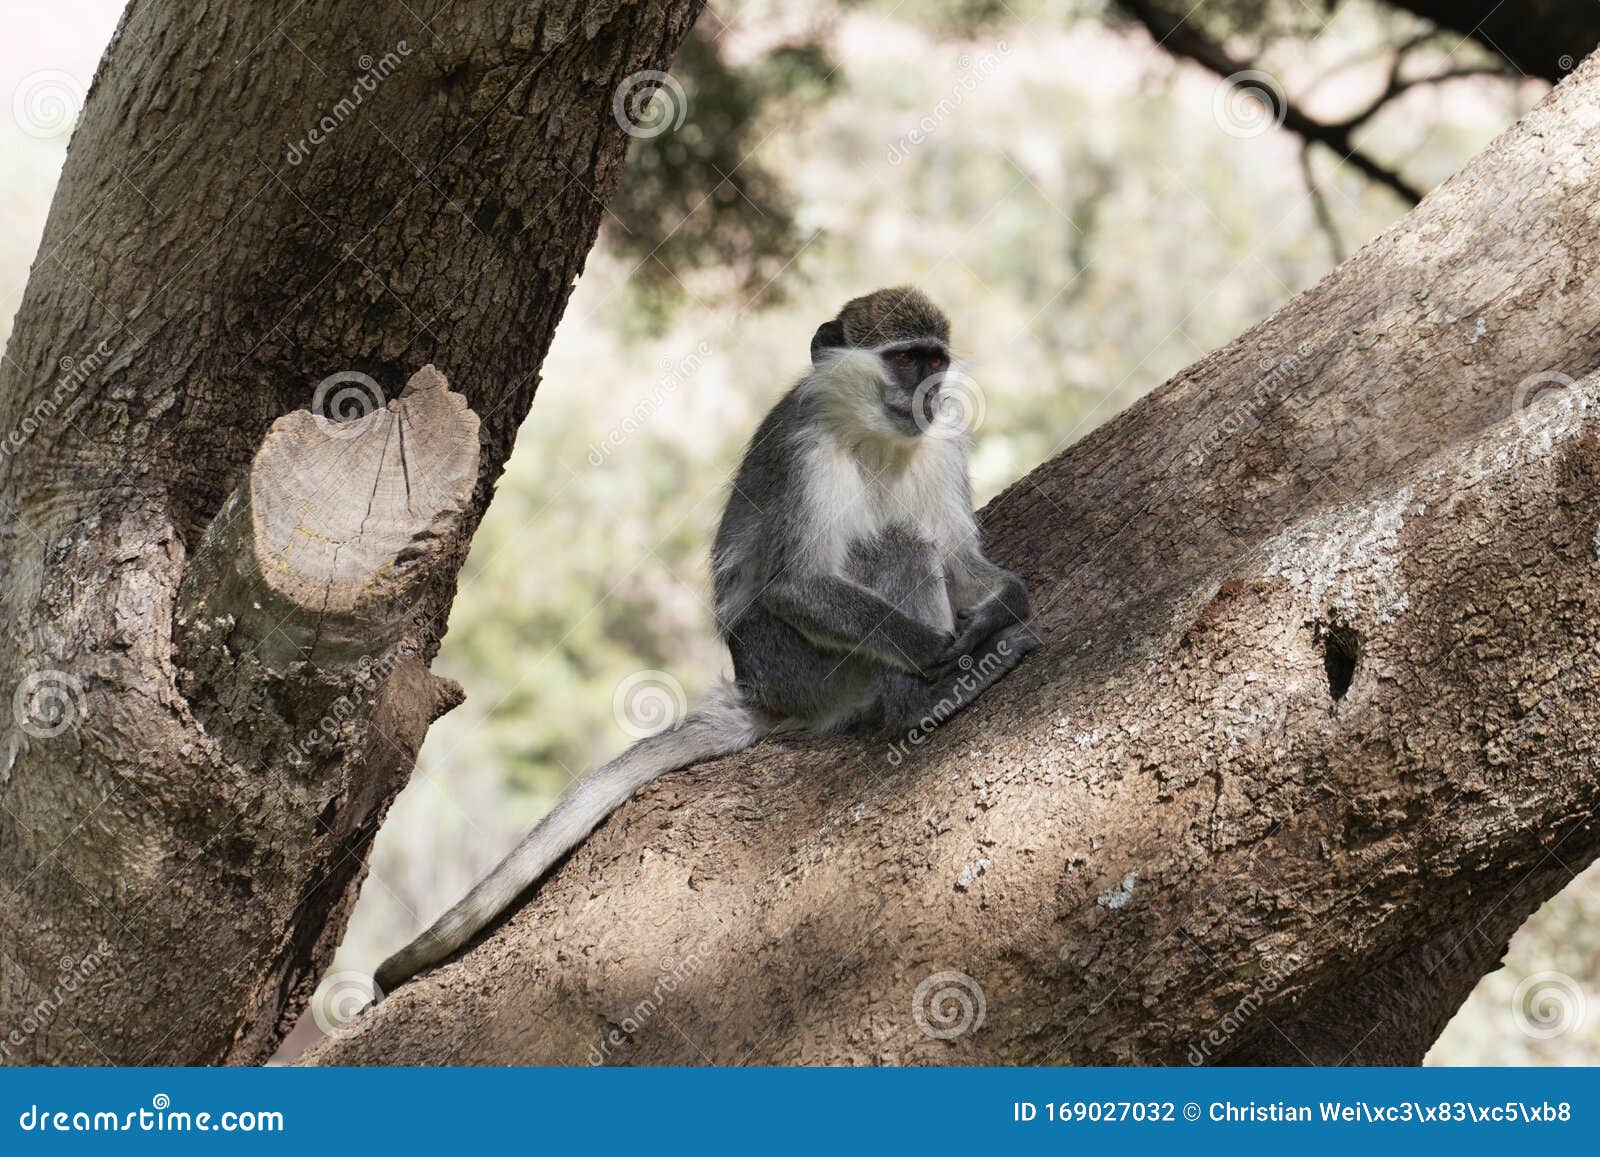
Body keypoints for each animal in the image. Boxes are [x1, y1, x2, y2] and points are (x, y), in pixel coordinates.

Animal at [373, 287, 1037, 993]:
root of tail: (760, 689)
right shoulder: (804, 453)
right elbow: (797, 585)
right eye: (907, 360)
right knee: (900, 545)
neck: (874, 436)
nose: (928, 395)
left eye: (936, 362)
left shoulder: (942, 443)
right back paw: (921, 702)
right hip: (796, 666)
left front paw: (1003, 607)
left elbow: (961, 559)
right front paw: (940, 650)